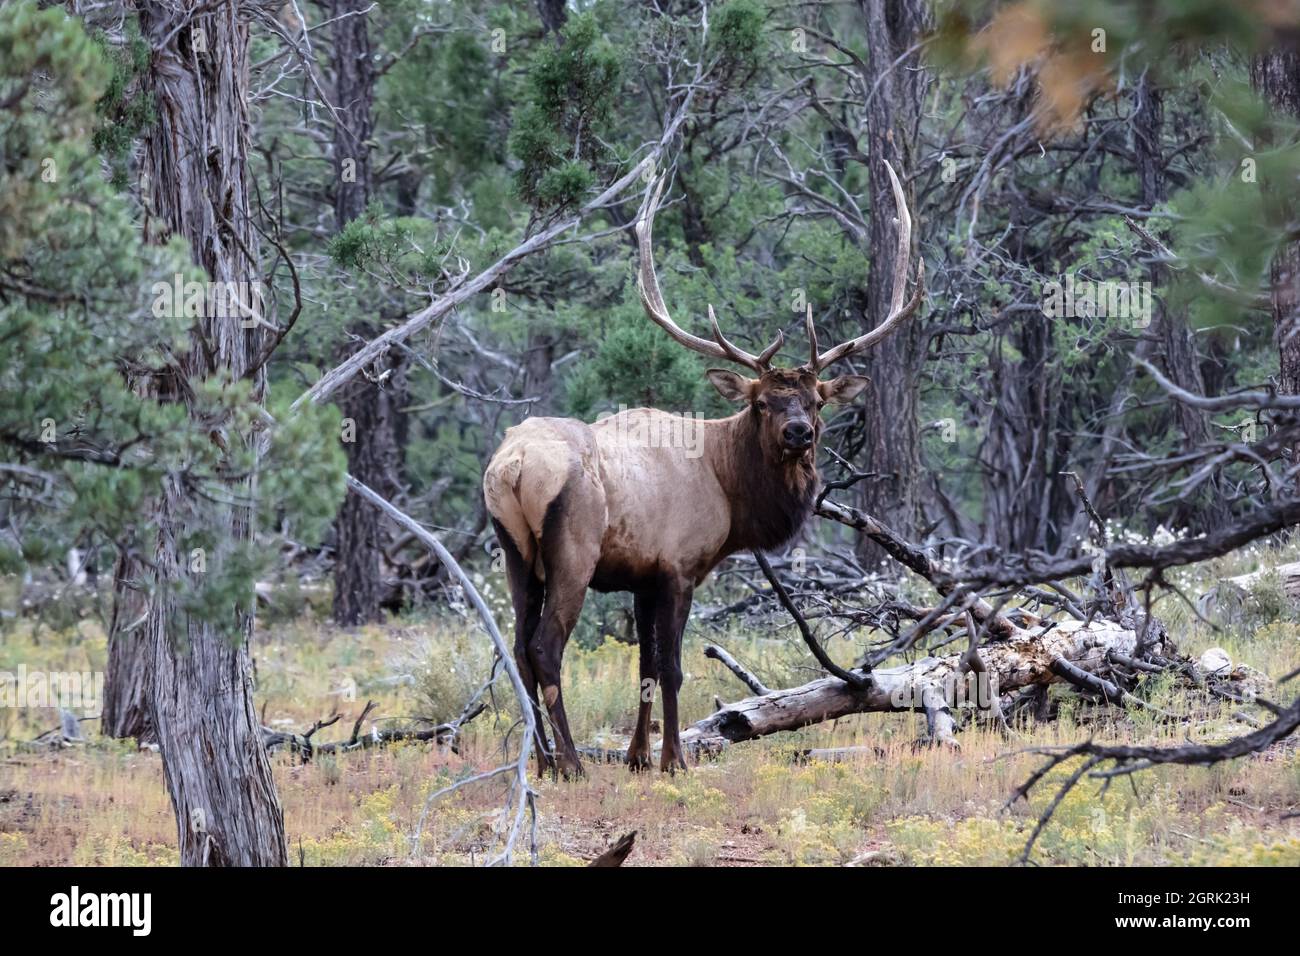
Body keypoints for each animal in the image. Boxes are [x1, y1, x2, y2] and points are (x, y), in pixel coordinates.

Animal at [483, 161, 923, 777]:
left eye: (815, 401)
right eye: (761, 402)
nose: (798, 433)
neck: (729, 491)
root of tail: (513, 466)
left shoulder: (642, 576)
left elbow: (644, 666)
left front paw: (638, 757)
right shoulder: (679, 566)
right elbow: (671, 667)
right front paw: (674, 760)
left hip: (516, 554)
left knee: (518, 648)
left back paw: (544, 762)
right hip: (572, 550)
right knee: (545, 648)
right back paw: (570, 762)